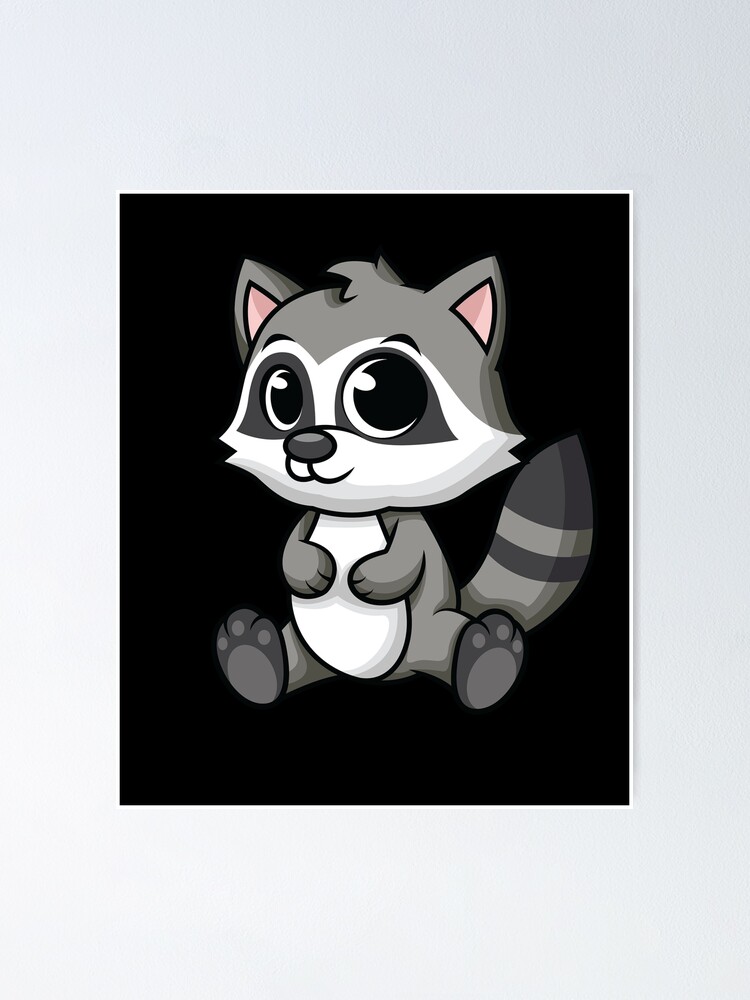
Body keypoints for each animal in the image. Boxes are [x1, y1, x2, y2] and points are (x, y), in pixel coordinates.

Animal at [216, 255, 593, 711]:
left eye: (380, 394)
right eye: (281, 393)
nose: (307, 446)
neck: (351, 514)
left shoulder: (410, 525)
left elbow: (408, 554)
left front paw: (373, 576)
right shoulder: (310, 517)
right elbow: (291, 547)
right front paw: (308, 569)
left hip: (431, 634)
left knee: (457, 645)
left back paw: (486, 658)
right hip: (305, 645)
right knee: (288, 655)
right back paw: (254, 654)